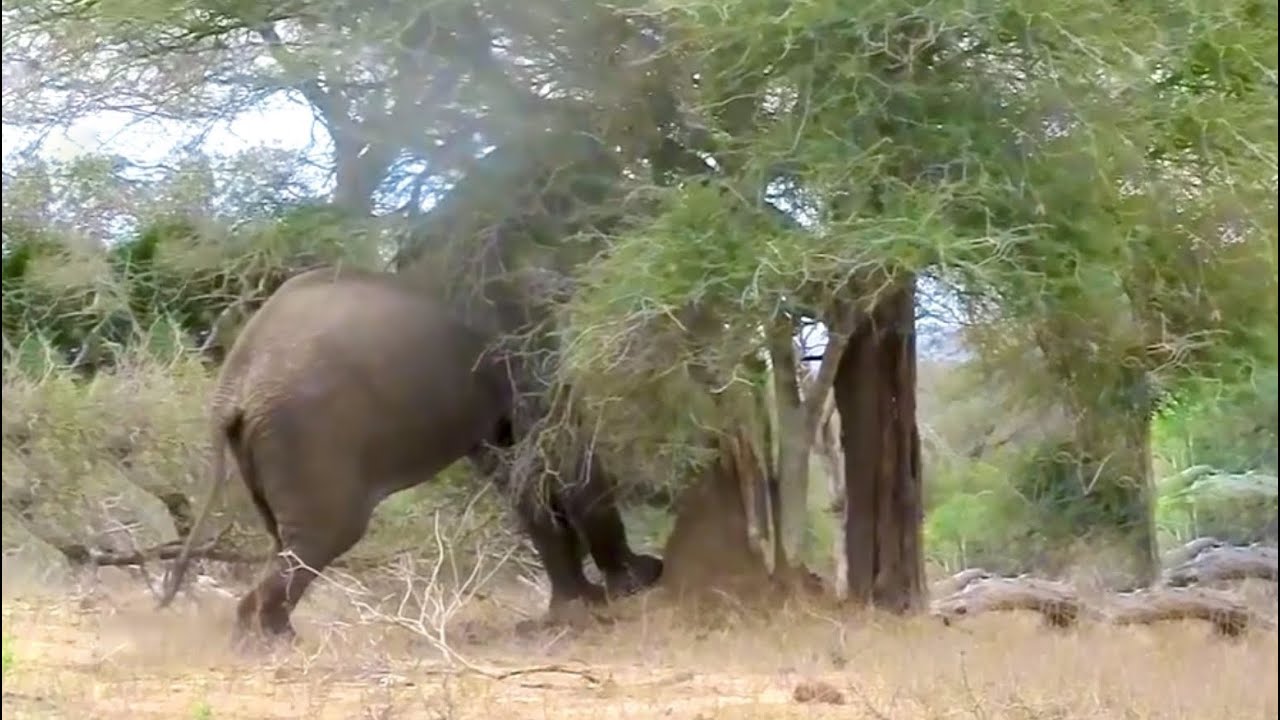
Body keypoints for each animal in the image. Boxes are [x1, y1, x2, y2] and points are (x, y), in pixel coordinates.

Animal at [156, 264, 662, 640]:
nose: (647, 569)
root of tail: (232, 384)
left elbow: (519, 477)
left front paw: (578, 609)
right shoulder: (521, 355)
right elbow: (560, 455)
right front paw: (632, 586)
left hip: (264, 440)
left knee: (284, 538)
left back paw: (266, 638)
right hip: (304, 433)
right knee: (325, 533)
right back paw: (274, 643)